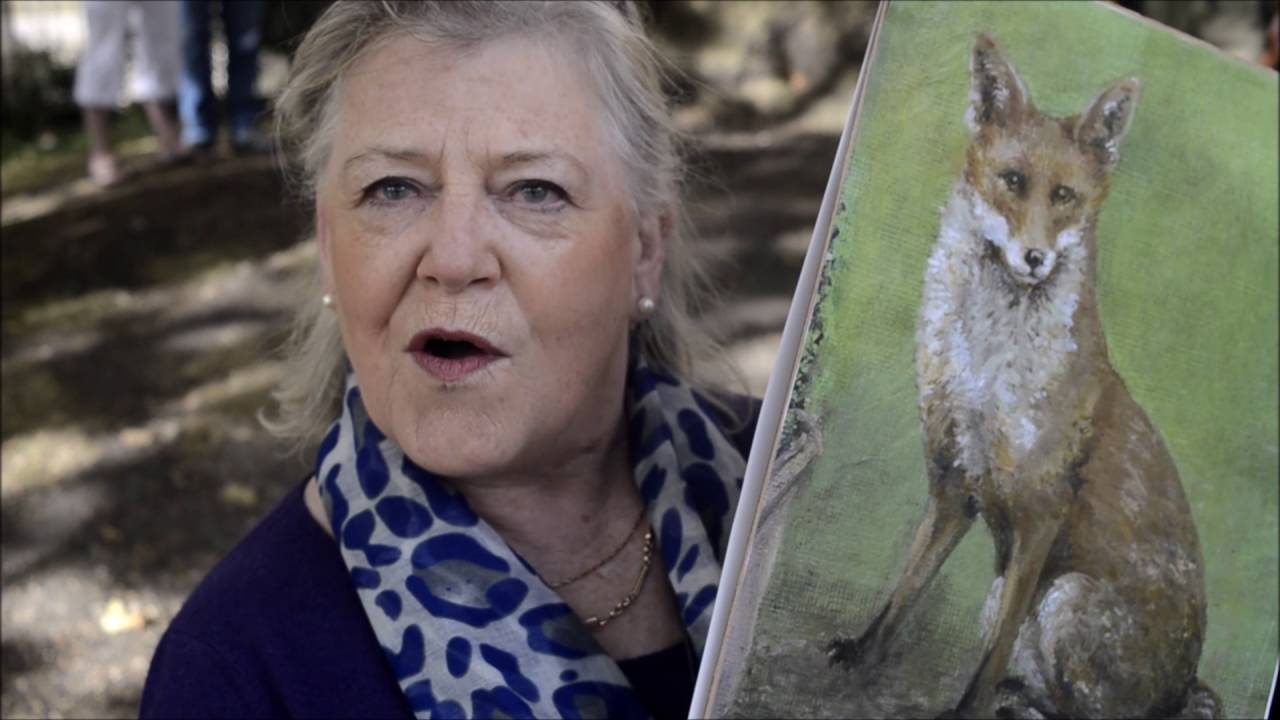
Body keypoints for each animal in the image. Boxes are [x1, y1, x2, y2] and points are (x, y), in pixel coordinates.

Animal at [825, 34, 1219, 719]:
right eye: (1013, 181)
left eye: (1064, 196)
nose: (1034, 258)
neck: (985, 374)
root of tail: (1184, 688)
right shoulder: (953, 482)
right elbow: (906, 587)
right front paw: (862, 652)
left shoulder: (1041, 512)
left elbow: (993, 652)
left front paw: (966, 711)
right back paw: (1020, 696)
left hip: (1067, 597)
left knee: (1087, 709)